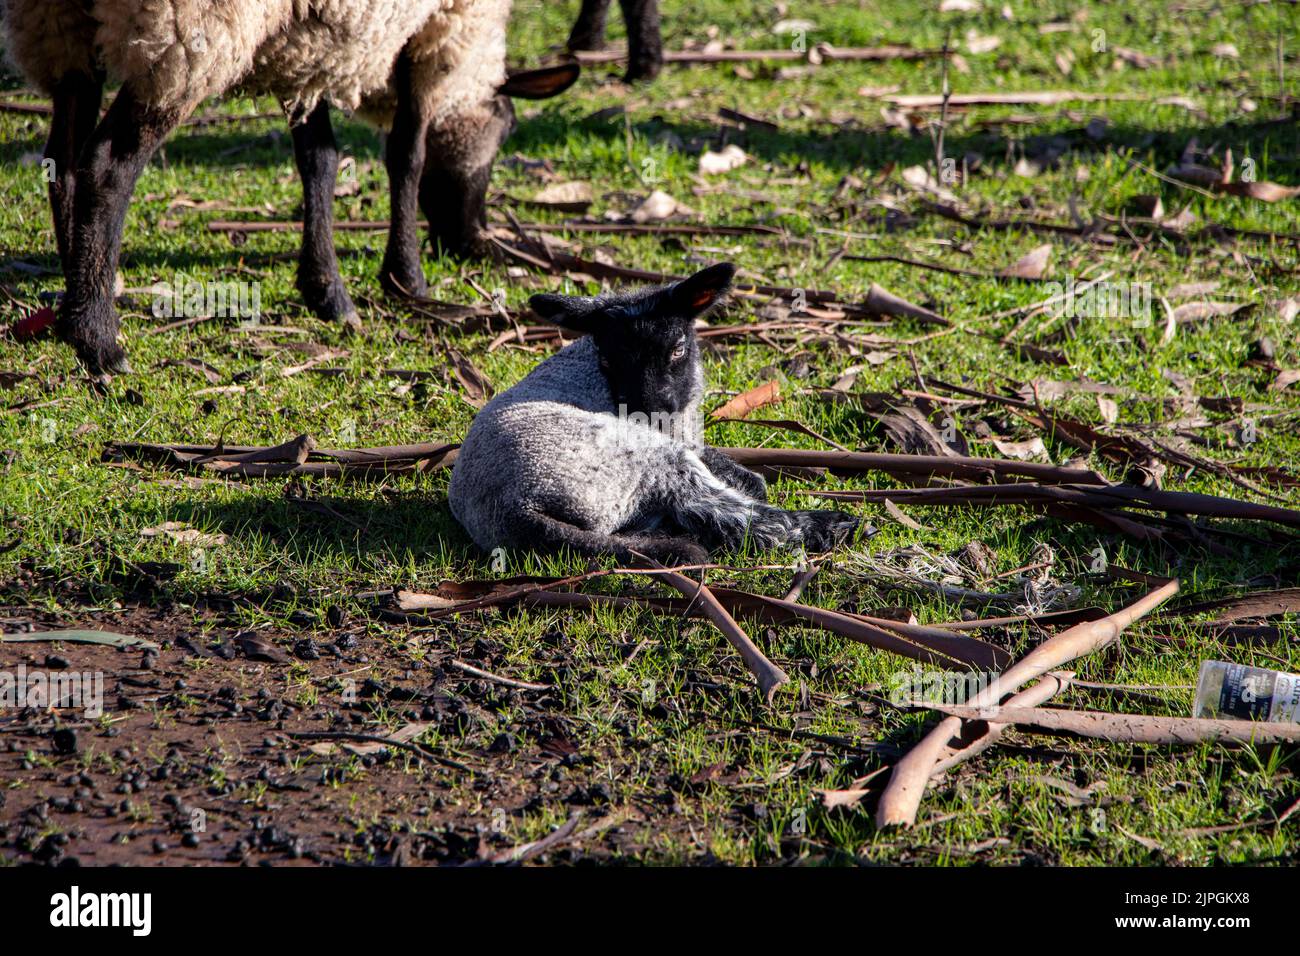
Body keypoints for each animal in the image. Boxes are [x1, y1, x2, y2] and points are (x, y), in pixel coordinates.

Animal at [2, 0, 578, 377]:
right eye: (505, 126)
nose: (470, 239)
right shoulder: (436, 30)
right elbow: (407, 156)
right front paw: (406, 277)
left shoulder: (306, 43)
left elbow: (318, 158)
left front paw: (326, 290)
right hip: (183, 29)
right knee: (106, 166)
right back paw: (98, 338)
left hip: (56, 25)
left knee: (63, 160)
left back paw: (79, 296)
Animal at [448, 263, 861, 566]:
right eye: (607, 359)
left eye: (677, 349)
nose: (651, 411)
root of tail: (516, 509)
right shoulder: (673, 440)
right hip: (636, 461)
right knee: (738, 517)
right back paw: (835, 526)